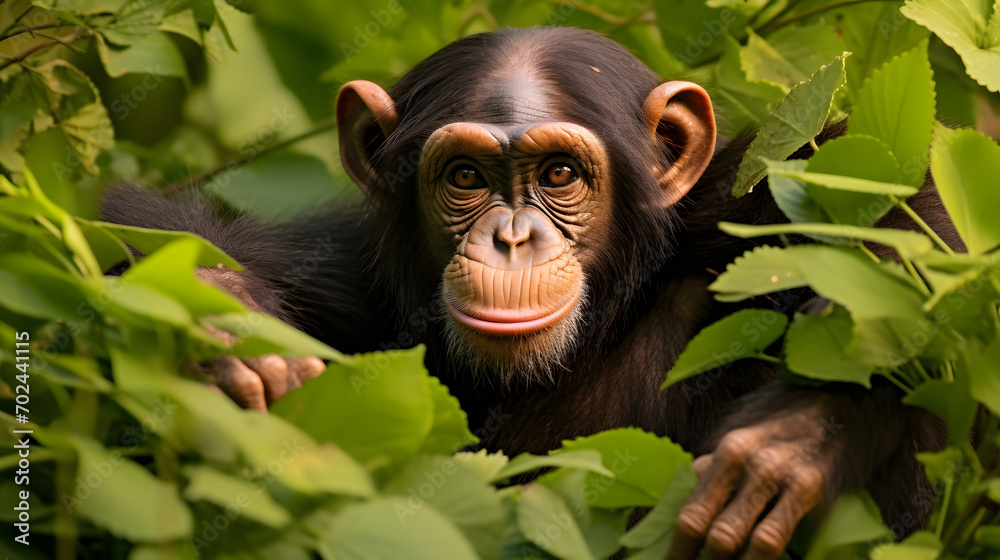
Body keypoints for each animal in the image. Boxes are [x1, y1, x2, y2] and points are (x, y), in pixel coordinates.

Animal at [101, 26, 960, 559]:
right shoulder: (348, 269)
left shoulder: (746, 207)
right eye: (466, 177)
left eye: (559, 175)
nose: (511, 238)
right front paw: (231, 329)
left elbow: (890, 207)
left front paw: (799, 437)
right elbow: (143, 225)